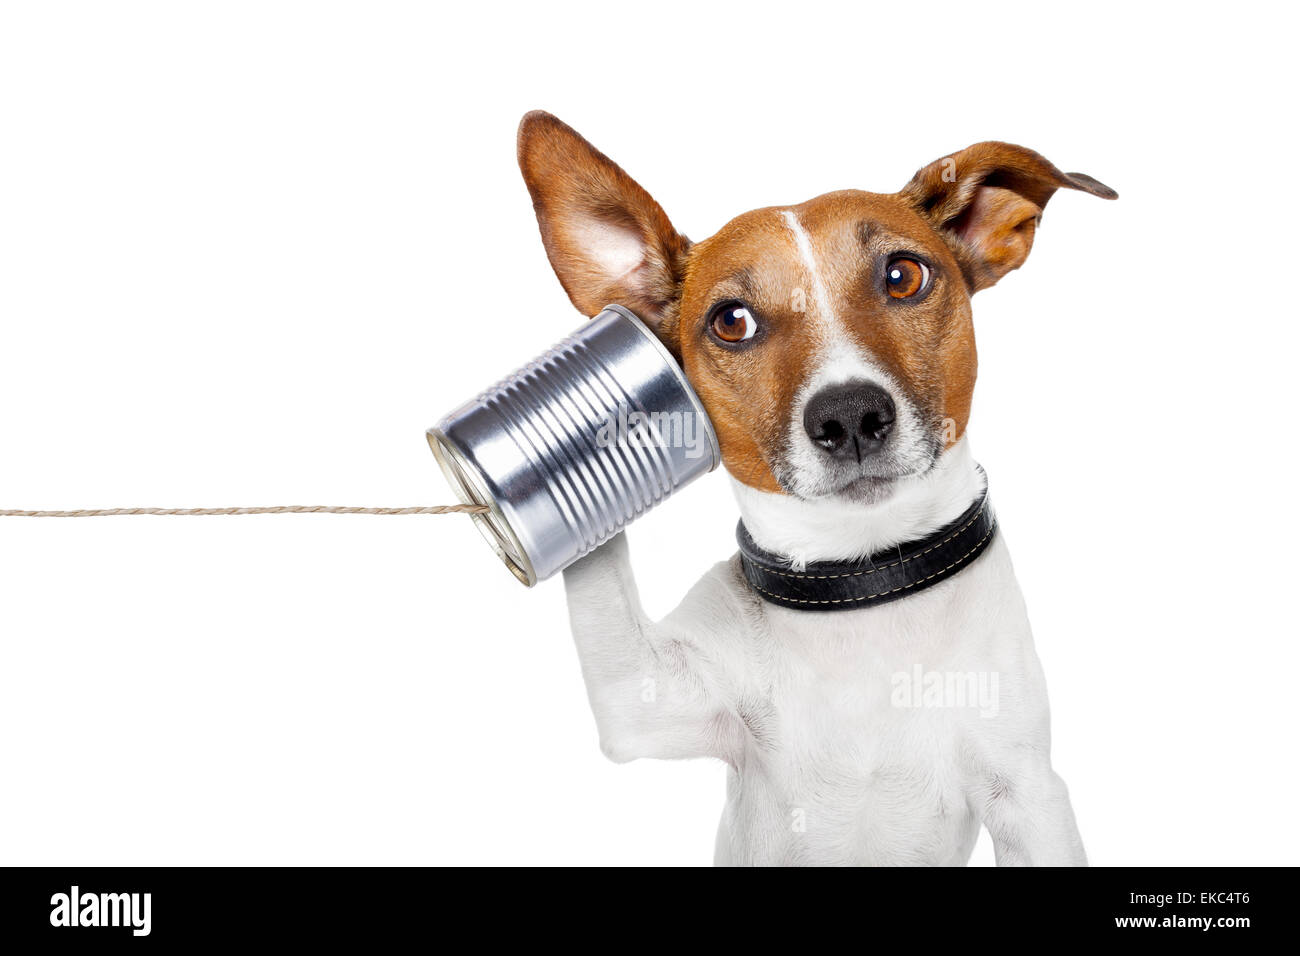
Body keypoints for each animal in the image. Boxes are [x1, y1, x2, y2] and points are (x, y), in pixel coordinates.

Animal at [517, 110, 1118, 868]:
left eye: (903, 276)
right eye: (732, 321)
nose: (849, 414)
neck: (863, 582)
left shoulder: (1026, 793)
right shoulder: (643, 697)